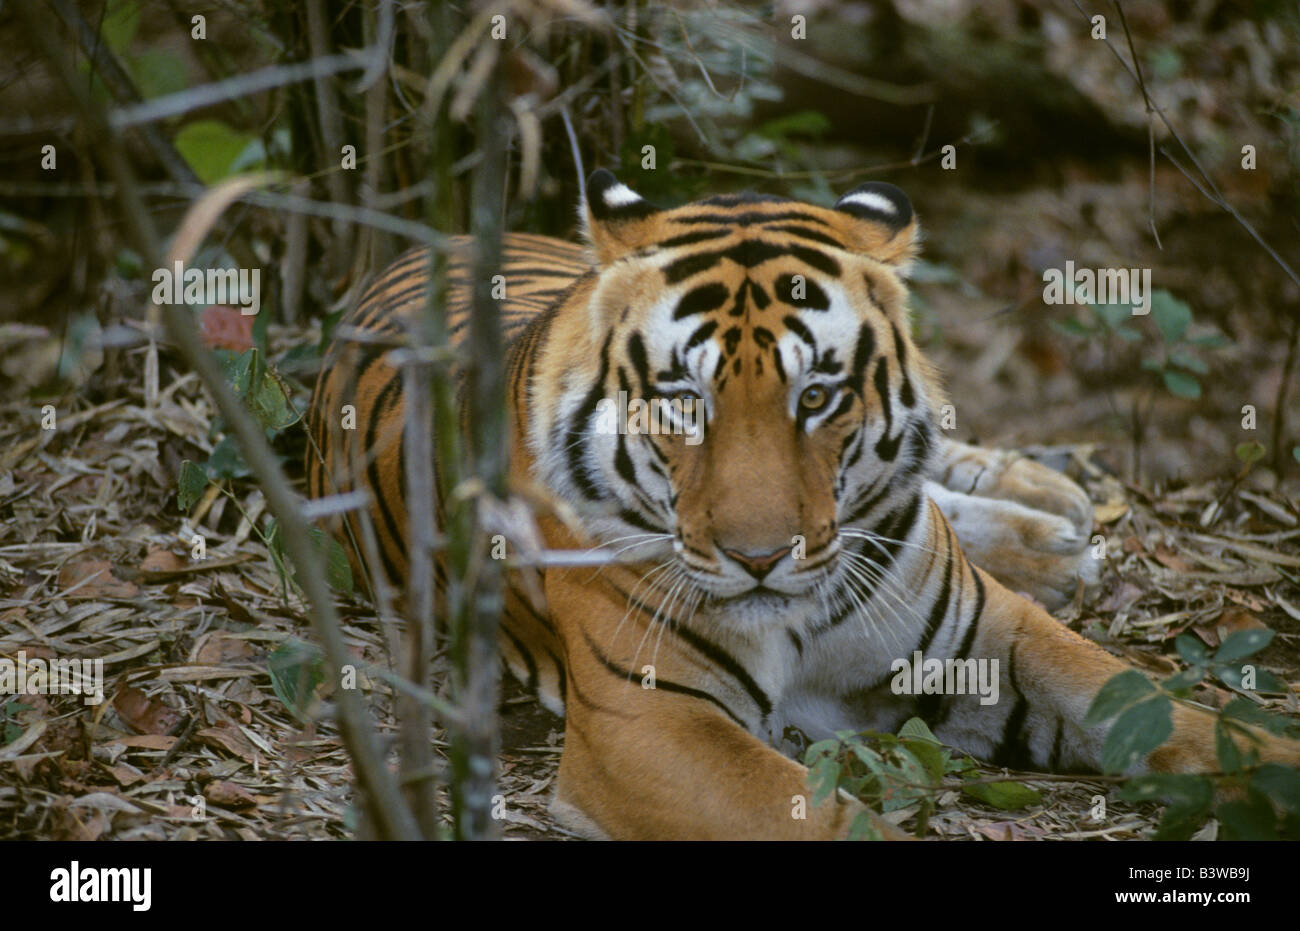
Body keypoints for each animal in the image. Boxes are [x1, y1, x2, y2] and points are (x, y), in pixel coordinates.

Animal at [307, 170, 1300, 840]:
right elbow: (825, 819)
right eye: (682, 401)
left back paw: (1051, 515)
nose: (759, 557)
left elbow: (1155, 704)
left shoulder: (991, 633)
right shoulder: (650, 721)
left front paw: (1272, 766)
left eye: (817, 395)